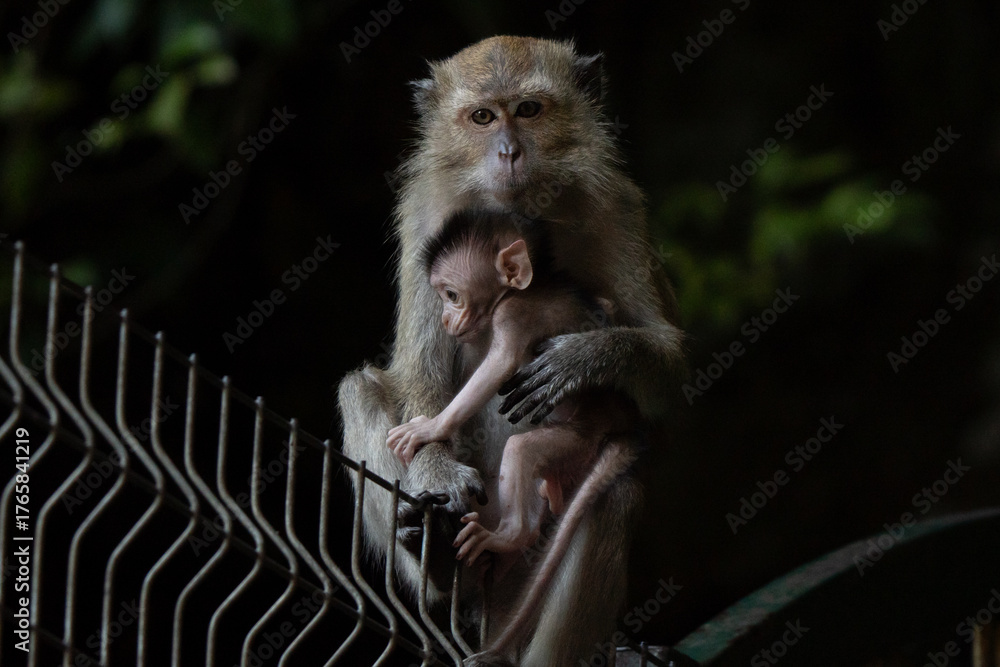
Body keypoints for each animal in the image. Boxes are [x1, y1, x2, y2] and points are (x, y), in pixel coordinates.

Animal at [385, 210, 639, 572]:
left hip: (579, 434)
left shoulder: (513, 314)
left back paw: (510, 536)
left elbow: (500, 363)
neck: (520, 290)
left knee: (521, 450)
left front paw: (429, 428)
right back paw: (553, 493)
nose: (445, 320)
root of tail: (615, 423)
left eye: (451, 295)